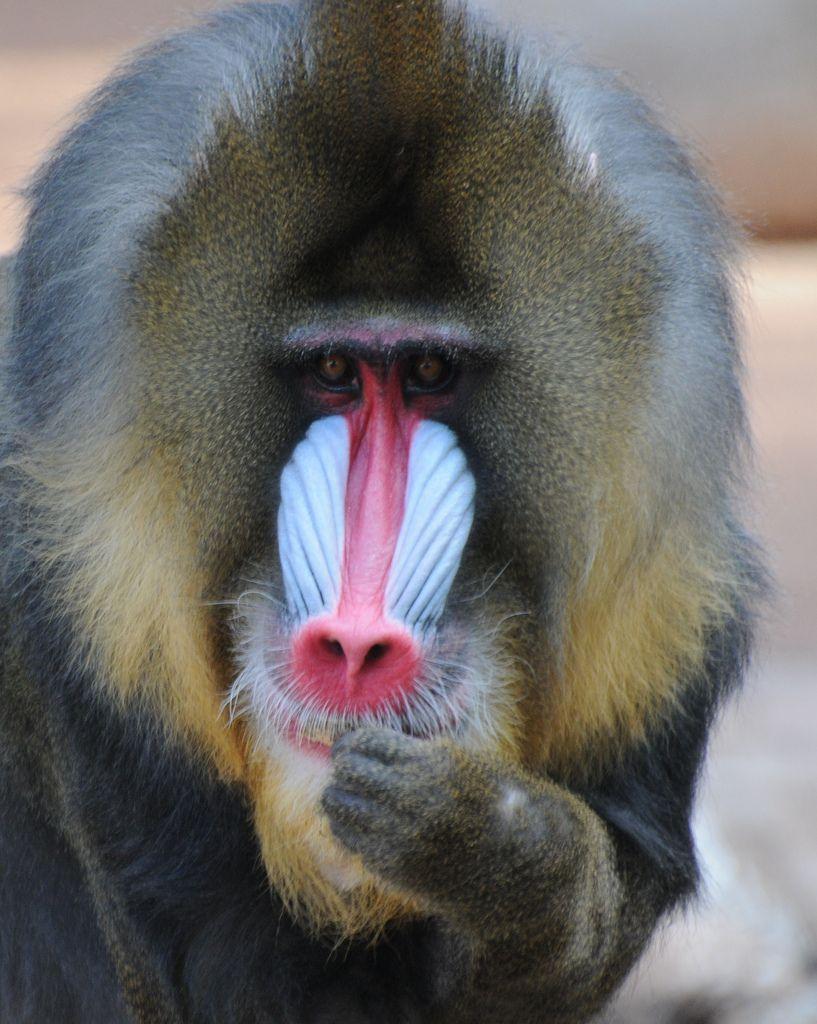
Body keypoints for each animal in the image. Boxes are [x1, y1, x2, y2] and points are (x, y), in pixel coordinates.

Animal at [0, 1, 765, 1021]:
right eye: (332, 371)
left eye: (431, 371)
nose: (357, 647)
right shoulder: (87, 624)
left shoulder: (661, 622)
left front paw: (494, 844)